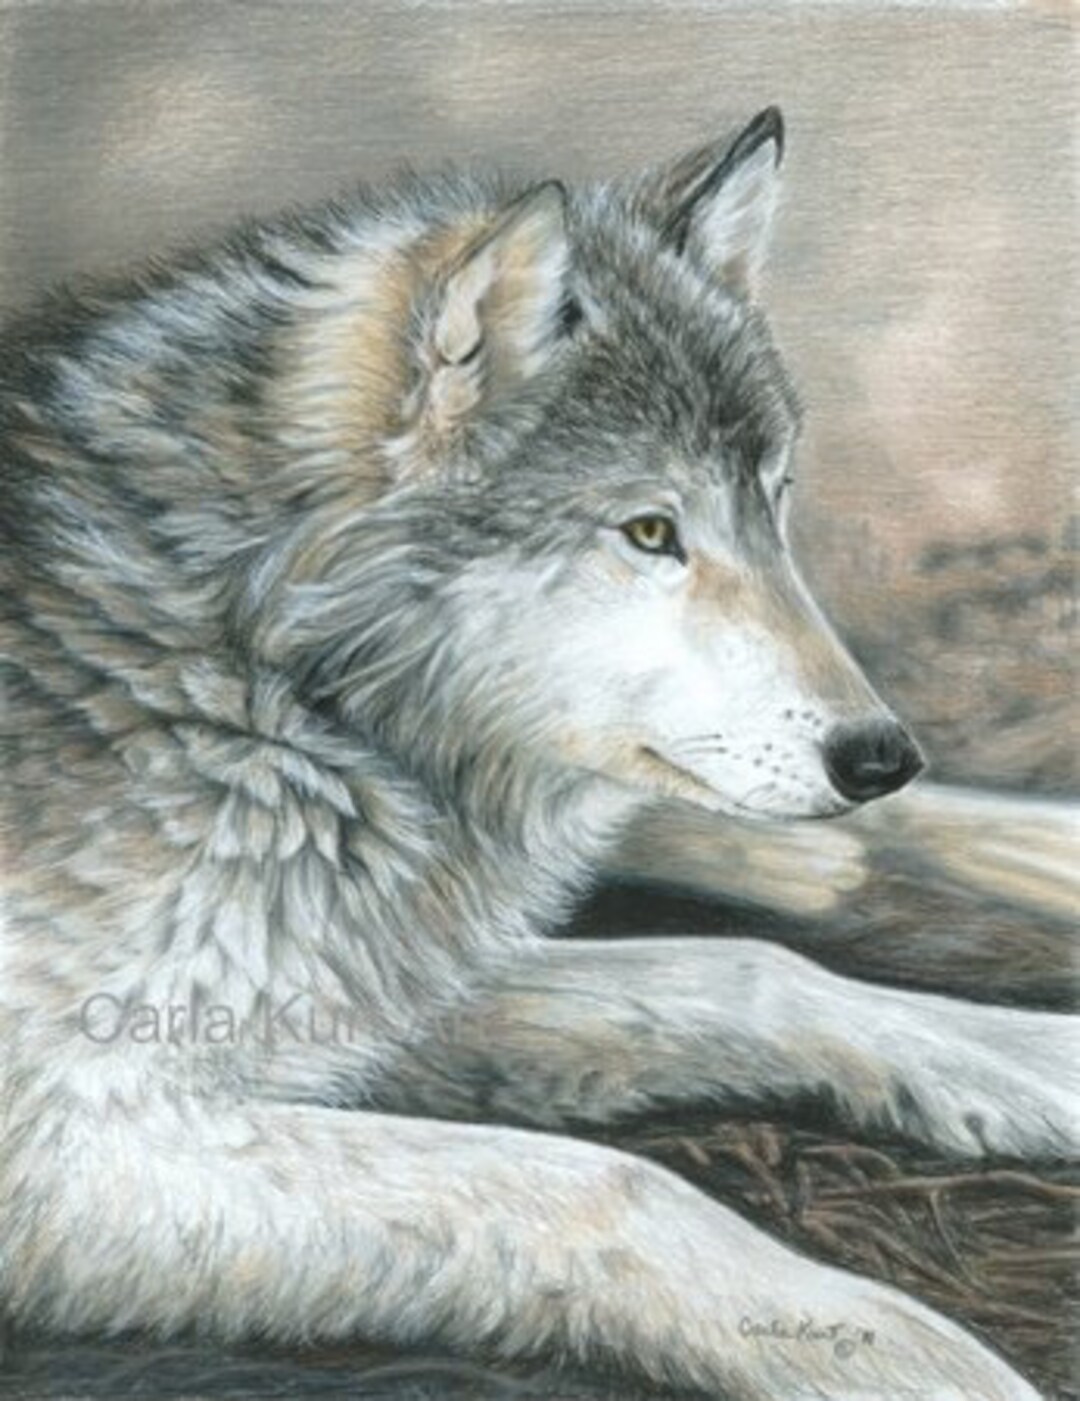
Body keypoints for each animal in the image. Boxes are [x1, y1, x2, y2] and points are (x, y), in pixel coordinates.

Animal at [1, 107, 1075, 1399]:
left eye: (773, 500)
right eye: (651, 531)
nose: (882, 757)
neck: (265, 688)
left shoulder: (365, 992)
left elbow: (751, 972)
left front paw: (1042, 1057)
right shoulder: (70, 1144)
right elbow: (608, 1184)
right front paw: (895, 1352)